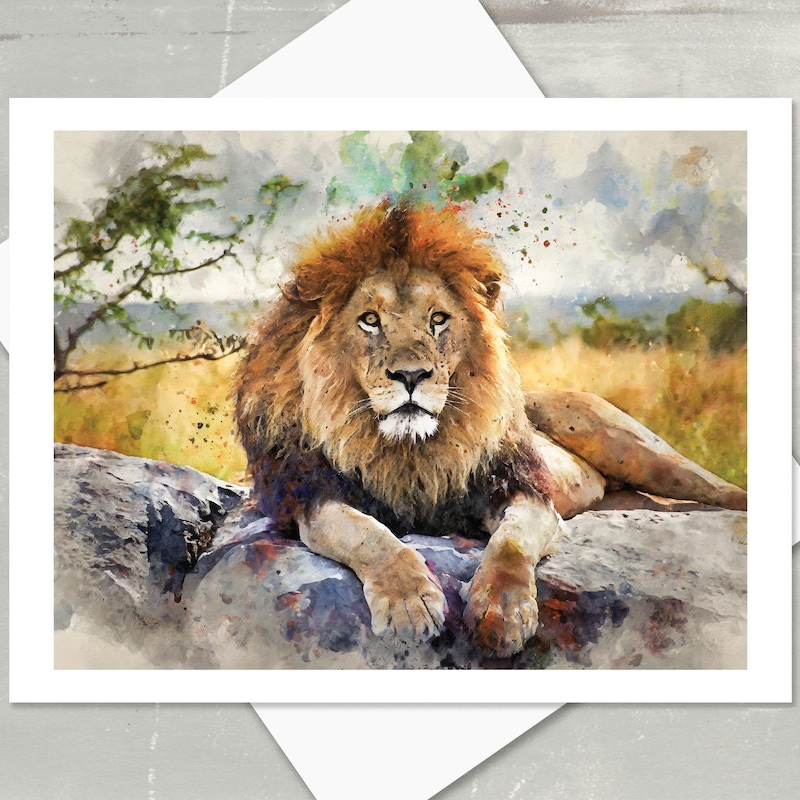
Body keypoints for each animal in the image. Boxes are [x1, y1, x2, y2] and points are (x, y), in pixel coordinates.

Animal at [234, 202, 747, 657]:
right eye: (370, 320)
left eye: (438, 319)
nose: (411, 375)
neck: (406, 449)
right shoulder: (311, 494)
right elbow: (370, 534)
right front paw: (408, 603)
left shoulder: (521, 489)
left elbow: (510, 544)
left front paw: (503, 614)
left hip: (638, 449)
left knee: (716, 488)